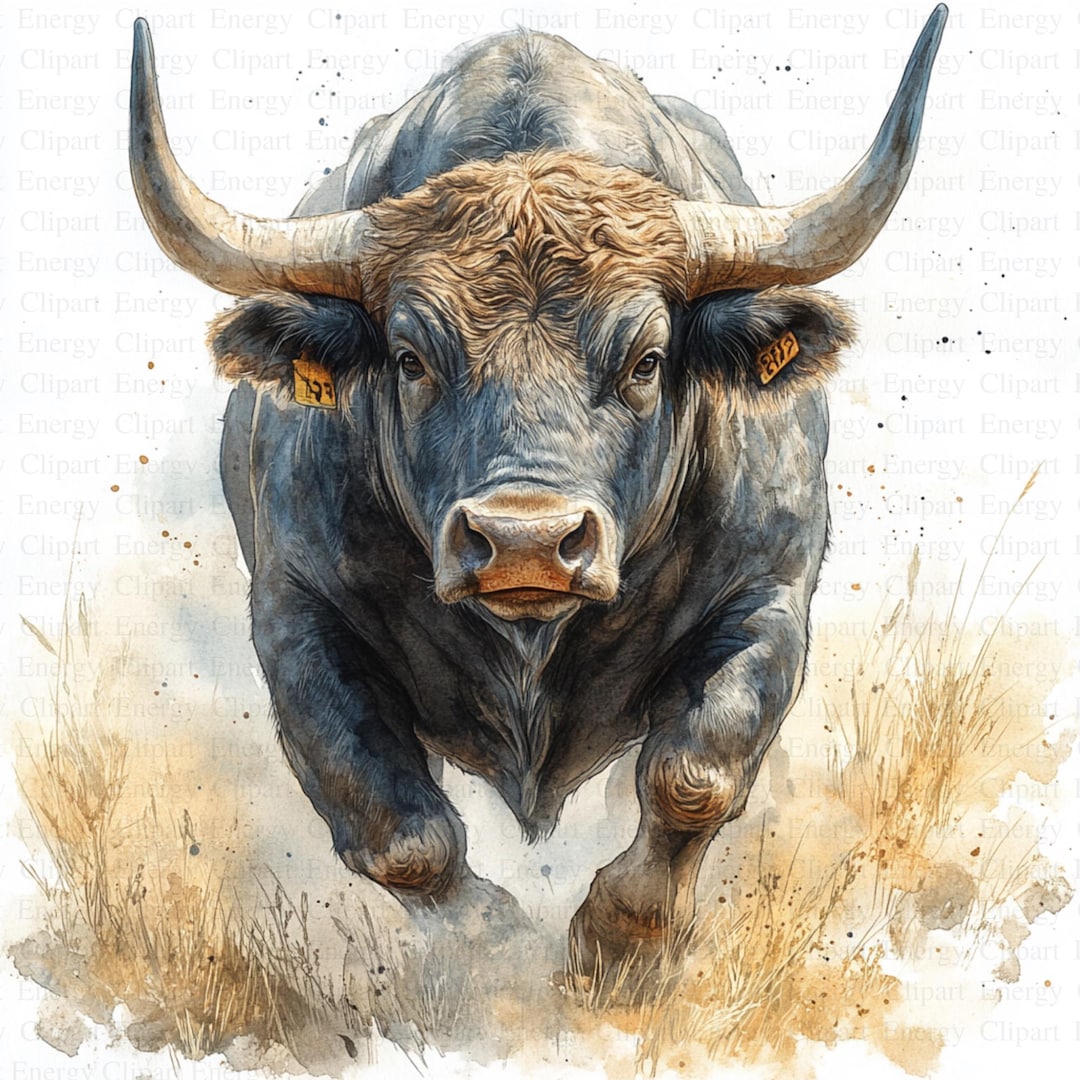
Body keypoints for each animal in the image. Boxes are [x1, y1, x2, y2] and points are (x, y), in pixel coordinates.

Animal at [129, 8, 947, 976]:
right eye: (409, 357)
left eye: (647, 359)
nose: (526, 543)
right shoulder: (296, 620)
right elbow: (396, 829)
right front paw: (495, 959)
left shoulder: (768, 595)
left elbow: (694, 775)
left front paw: (617, 944)